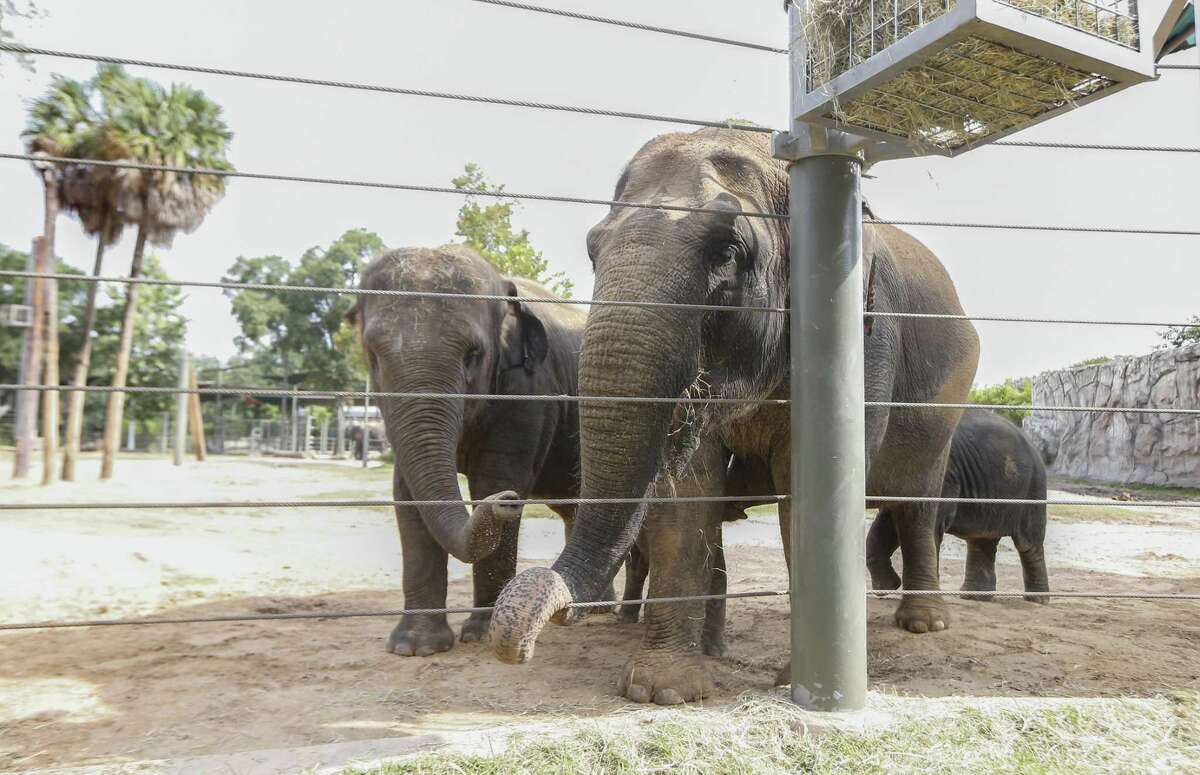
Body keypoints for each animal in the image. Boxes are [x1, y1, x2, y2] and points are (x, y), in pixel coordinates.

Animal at [488, 127, 980, 704]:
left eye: (728, 250)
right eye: (592, 250)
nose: (521, 647)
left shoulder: (868, 342)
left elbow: (803, 486)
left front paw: (798, 684)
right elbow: (688, 493)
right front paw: (665, 690)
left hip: (947, 406)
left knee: (918, 503)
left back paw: (923, 624)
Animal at [867, 408, 1050, 602]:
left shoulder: (943, 478)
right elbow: (886, 525)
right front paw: (887, 587)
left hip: (1033, 489)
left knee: (1028, 543)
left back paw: (1037, 599)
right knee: (982, 538)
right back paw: (974, 597)